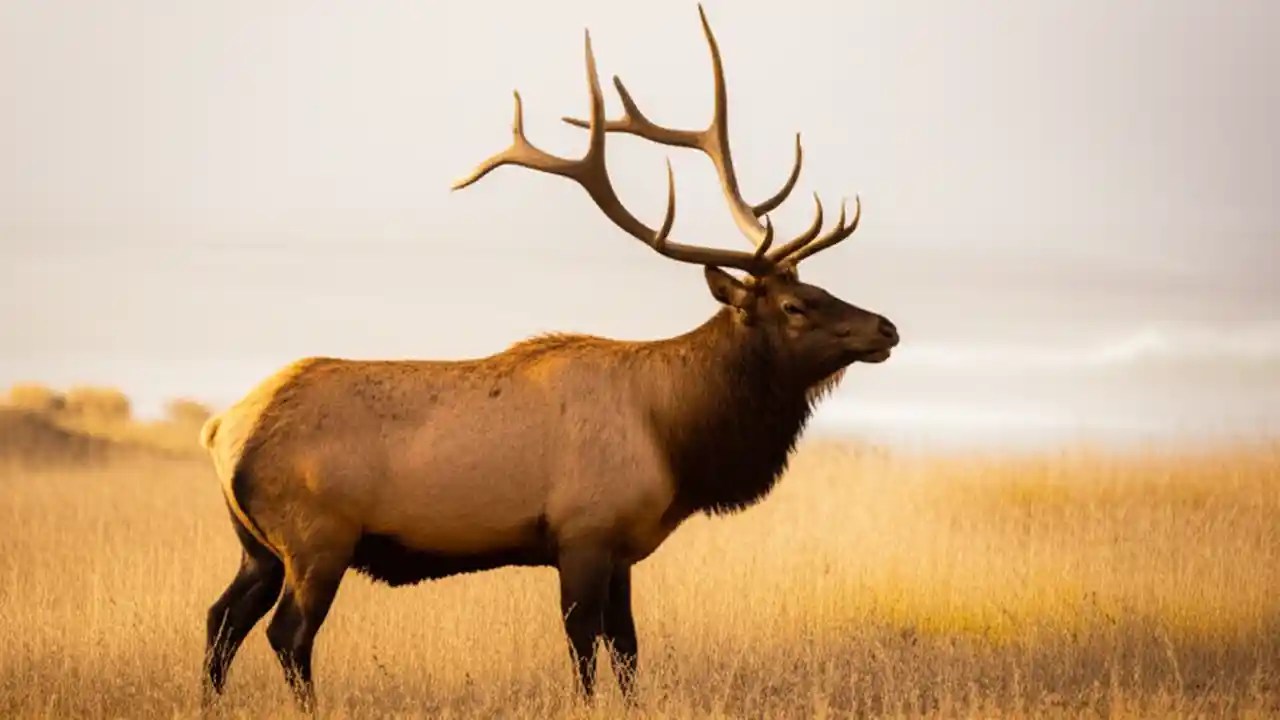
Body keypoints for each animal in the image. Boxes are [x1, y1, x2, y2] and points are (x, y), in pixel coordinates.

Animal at [199, 5, 898, 712]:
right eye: (795, 305)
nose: (887, 328)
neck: (675, 436)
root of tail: (222, 428)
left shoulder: (620, 549)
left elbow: (628, 650)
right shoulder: (583, 533)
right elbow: (586, 650)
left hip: (258, 547)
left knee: (220, 618)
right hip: (317, 537)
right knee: (287, 634)